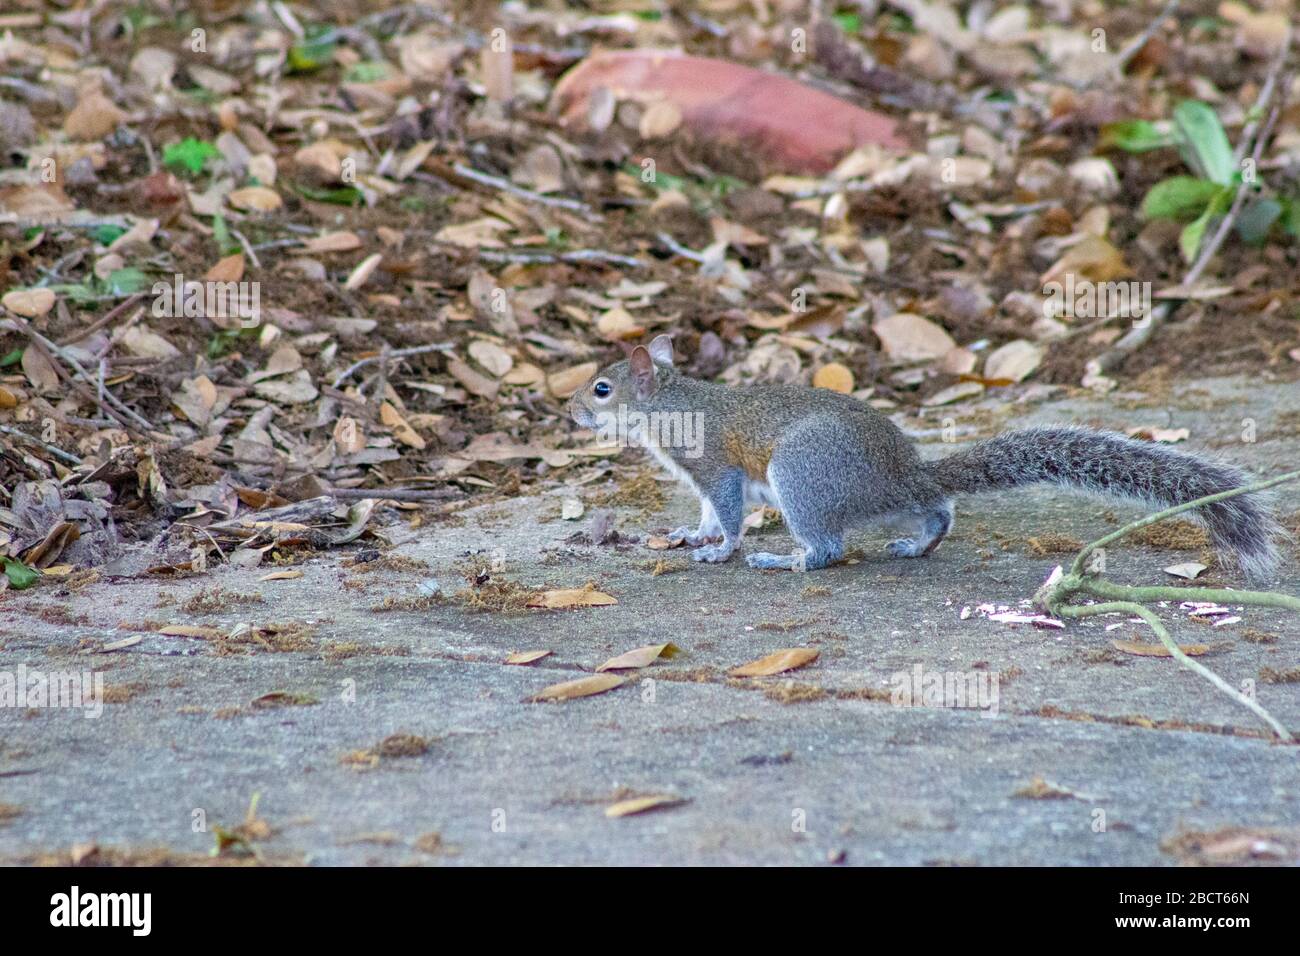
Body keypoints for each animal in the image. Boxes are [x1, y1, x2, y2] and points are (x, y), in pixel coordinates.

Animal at [569, 335, 1282, 581]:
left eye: (602, 388)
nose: (569, 408)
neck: (672, 402)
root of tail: (902, 472)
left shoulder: (714, 464)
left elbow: (727, 510)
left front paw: (722, 551)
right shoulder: (702, 480)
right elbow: (708, 512)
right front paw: (695, 536)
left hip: (800, 476)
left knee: (828, 549)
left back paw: (788, 559)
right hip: (893, 501)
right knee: (936, 510)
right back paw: (917, 544)